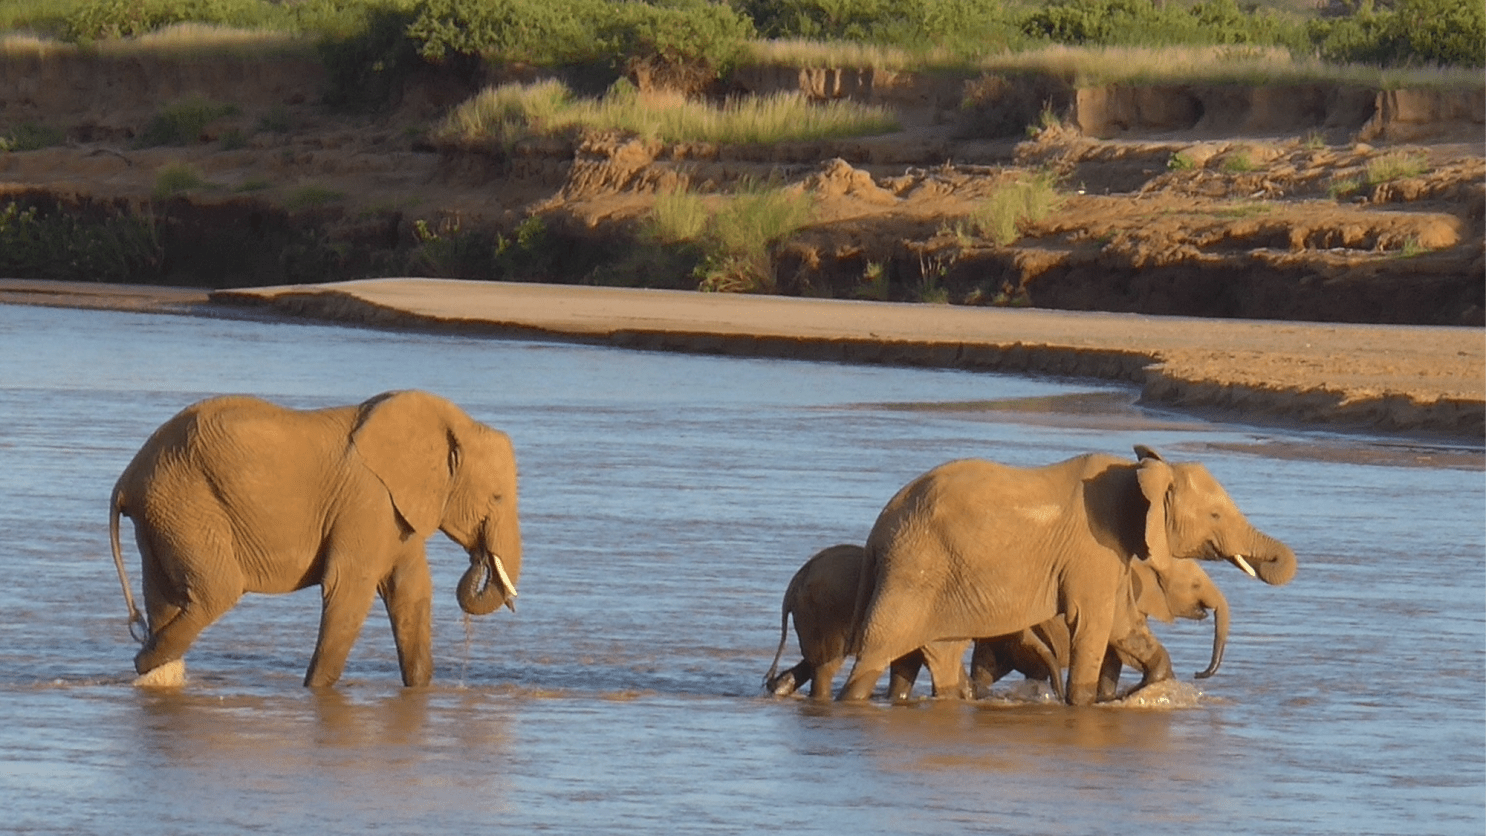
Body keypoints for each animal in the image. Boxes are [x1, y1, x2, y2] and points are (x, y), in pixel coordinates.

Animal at [109, 390, 522, 687]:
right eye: (497, 497)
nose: (479, 558)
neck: (453, 424)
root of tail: (126, 480)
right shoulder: (366, 501)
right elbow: (350, 588)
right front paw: (316, 692)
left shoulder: (395, 511)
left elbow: (411, 591)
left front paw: (419, 691)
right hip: (185, 504)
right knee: (217, 590)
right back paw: (145, 661)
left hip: (164, 513)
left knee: (166, 596)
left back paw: (153, 669)